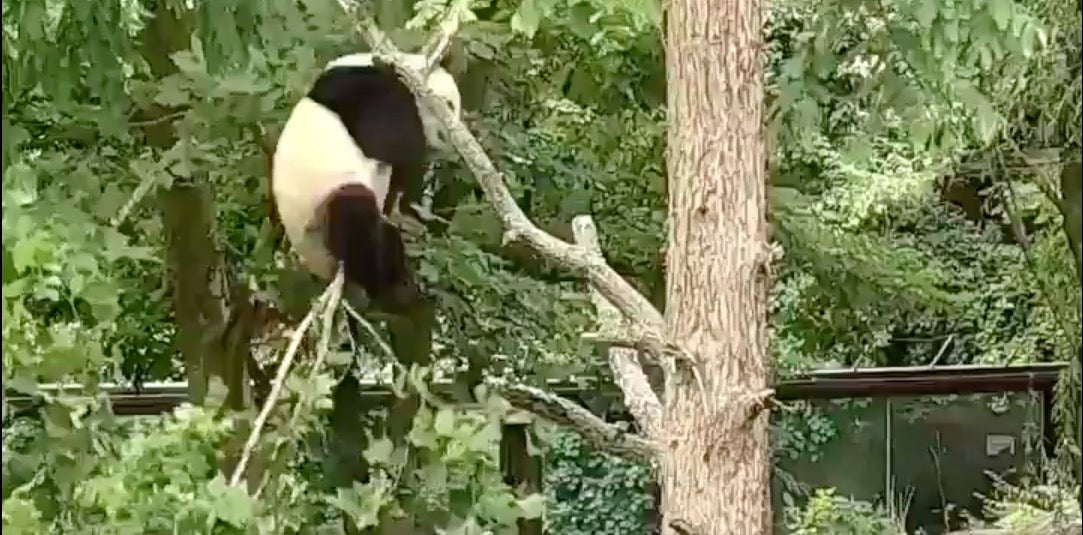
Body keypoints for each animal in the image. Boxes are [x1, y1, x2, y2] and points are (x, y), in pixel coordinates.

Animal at [270, 52, 463, 311]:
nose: (453, 143)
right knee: (354, 220)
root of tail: (320, 268)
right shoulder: (367, 95)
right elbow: (393, 140)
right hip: (319, 203)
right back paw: (393, 287)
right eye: (450, 105)